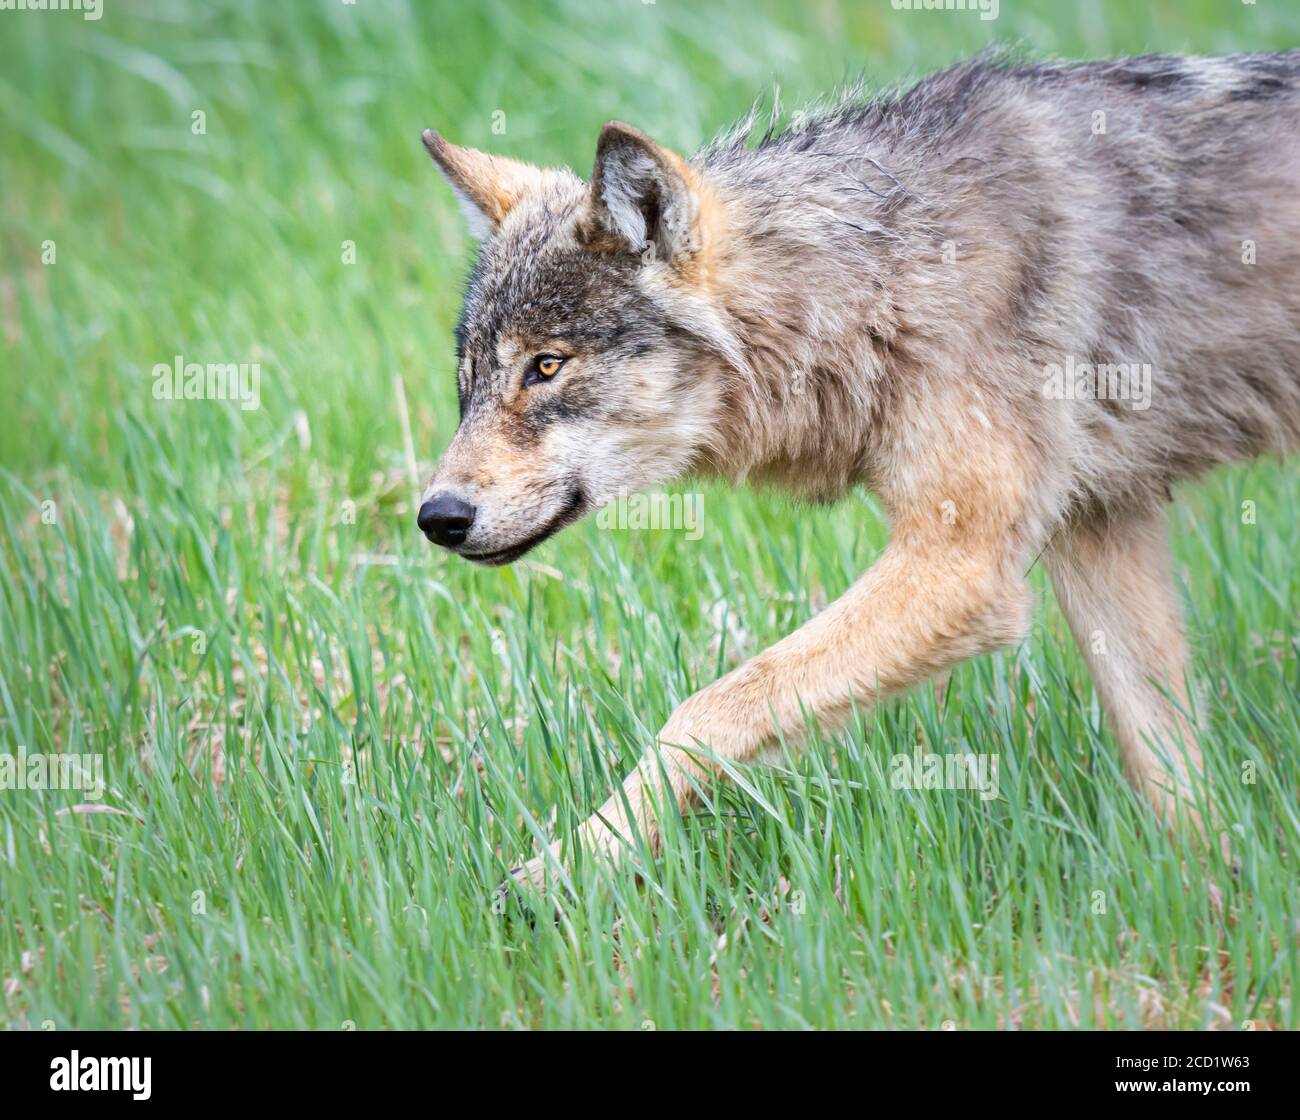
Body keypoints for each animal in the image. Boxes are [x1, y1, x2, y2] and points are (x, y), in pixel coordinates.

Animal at [417, 51, 1300, 889]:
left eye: (546, 367)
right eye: (468, 383)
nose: (436, 517)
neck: (881, 278)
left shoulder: (960, 563)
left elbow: (709, 709)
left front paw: (566, 869)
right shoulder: (1101, 523)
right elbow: (1165, 757)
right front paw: (1210, 892)